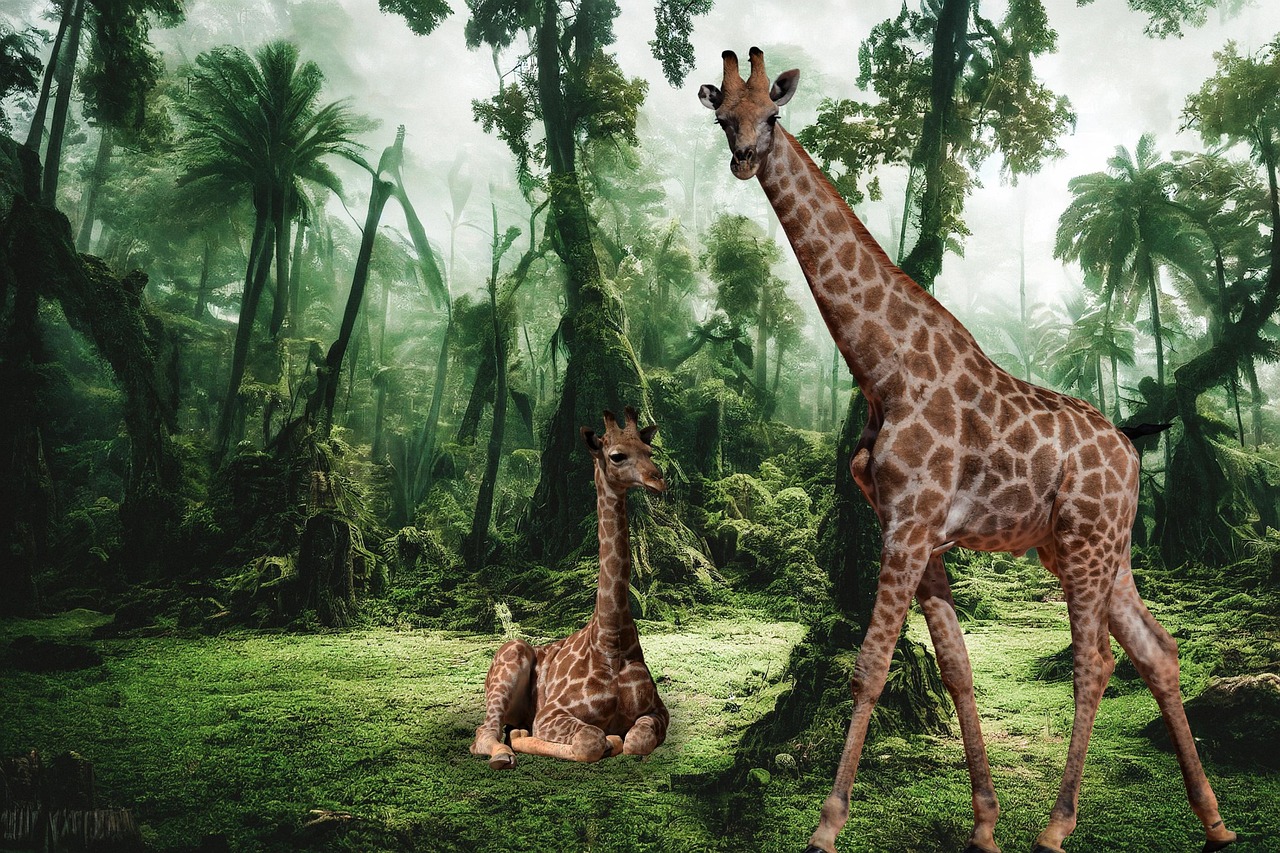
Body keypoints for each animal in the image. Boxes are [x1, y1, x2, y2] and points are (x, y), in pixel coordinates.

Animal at [470, 407, 670, 768]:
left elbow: (638, 740)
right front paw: (608, 741)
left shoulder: (658, 710)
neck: (611, 640)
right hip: (510, 656)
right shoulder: (551, 714)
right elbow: (591, 740)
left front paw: (620, 739)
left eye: (650, 451)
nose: (658, 480)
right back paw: (505, 751)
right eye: (616, 456)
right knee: (484, 734)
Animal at [700, 48, 1235, 853]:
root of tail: (1132, 447)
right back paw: (1214, 820)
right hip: (1095, 548)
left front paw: (827, 827)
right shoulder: (917, 530)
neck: (882, 367)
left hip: (1087, 543)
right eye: (723, 116)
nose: (743, 158)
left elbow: (869, 667)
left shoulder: (910, 522)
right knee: (1157, 650)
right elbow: (956, 667)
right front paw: (983, 823)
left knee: (1094, 662)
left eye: (772, 113)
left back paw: (1056, 826)